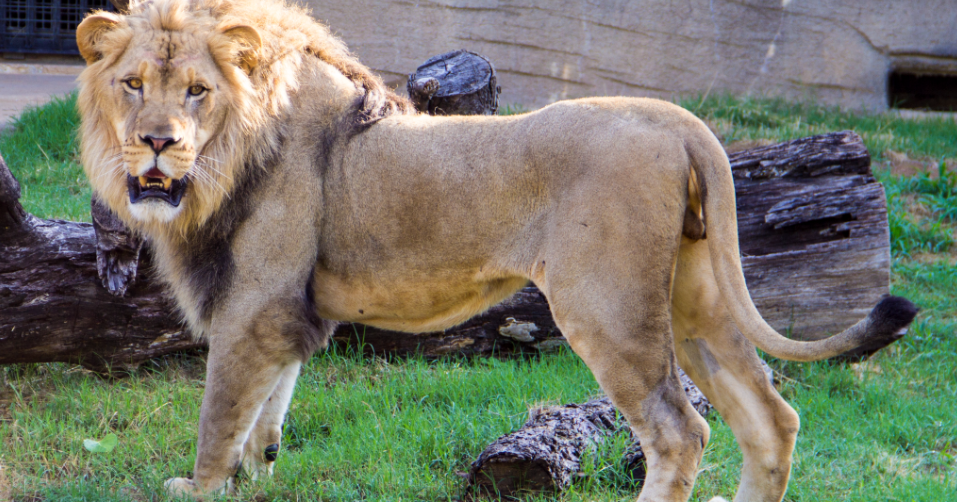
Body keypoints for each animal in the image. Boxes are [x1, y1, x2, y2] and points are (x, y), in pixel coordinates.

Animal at [75, 0, 916, 500]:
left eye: (196, 91)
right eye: (133, 83)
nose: (157, 143)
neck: (225, 160)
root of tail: (677, 119)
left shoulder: (252, 306)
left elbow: (220, 417)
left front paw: (201, 486)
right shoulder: (285, 310)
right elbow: (266, 415)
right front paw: (258, 475)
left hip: (606, 303)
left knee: (681, 432)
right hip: (694, 297)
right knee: (770, 418)